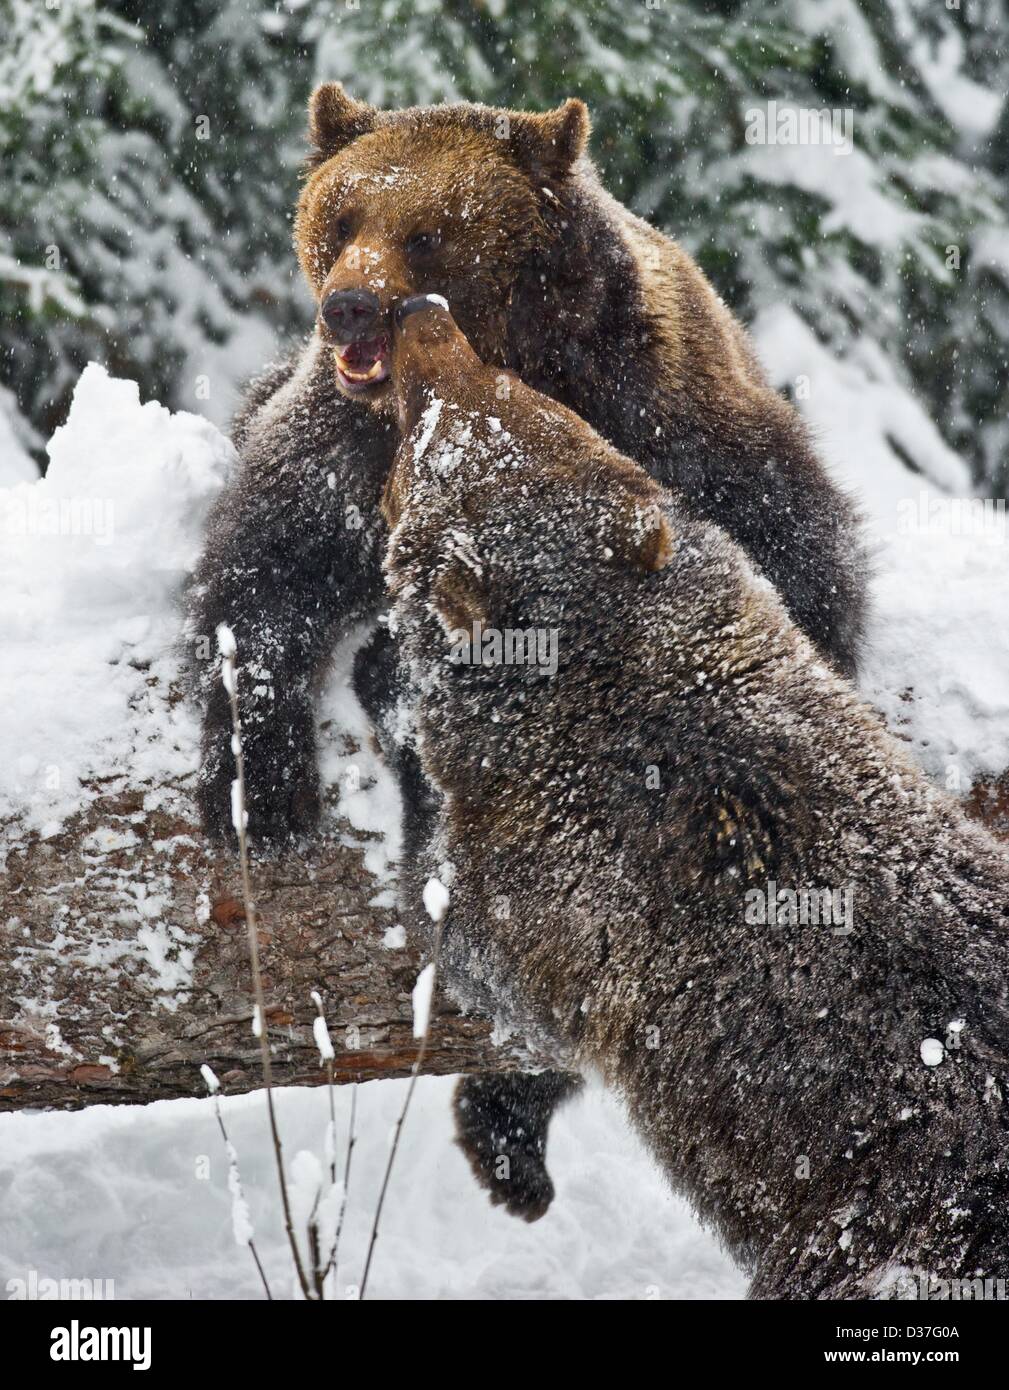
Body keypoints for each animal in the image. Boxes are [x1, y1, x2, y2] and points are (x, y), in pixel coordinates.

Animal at [186, 85, 868, 1222]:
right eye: (340, 217)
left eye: (426, 232)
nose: (351, 309)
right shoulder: (334, 452)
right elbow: (262, 578)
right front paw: (260, 782)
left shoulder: (667, 423)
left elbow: (795, 579)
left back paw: (509, 1131)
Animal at [382, 294, 1009, 1299]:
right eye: (504, 388)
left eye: (431, 427)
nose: (420, 311)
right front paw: (507, 1147)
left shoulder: (555, 895)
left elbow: (465, 945)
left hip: (876, 1235)